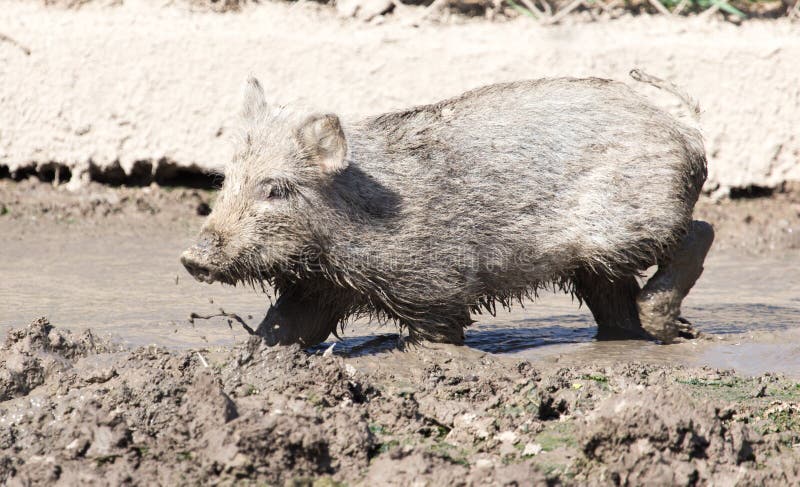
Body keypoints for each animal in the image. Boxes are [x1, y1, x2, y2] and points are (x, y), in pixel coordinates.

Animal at [181, 71, 714, 347]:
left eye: (276, 190)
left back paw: (665, 325)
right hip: (597, 263)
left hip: (628, 227)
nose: (191, 257)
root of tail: (686, 129)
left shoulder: (434, 288)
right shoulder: (318, 288)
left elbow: (437, 335)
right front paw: (251, 362)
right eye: (227, 179)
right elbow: (280, 331)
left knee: (700, 231)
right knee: (614, 301)